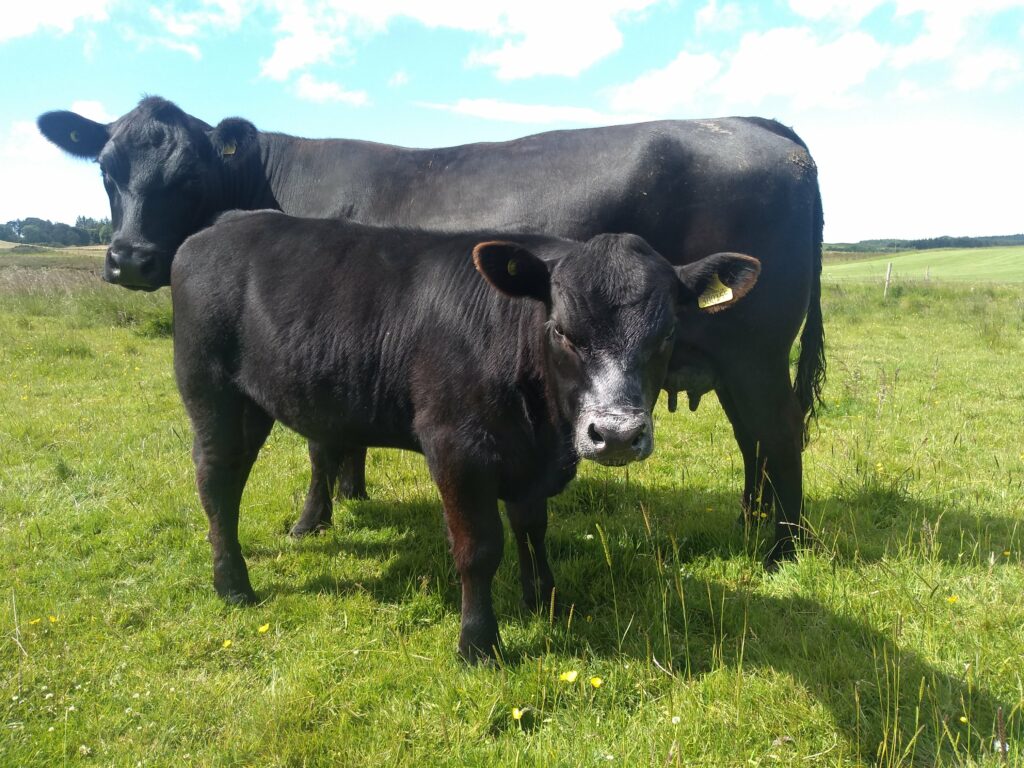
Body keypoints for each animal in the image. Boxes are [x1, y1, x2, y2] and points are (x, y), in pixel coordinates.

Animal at [38, 97, 824, 568]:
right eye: (107, 169)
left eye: (188, 174)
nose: (129, 258)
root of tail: (758, 125)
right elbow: (340, 435)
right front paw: (353, 493)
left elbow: (320, 443)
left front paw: (314, 519)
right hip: (733, 355)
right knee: (753, 438)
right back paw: (750, 523)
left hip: (755, 348)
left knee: (777, 431)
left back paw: (781, 548)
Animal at [171, 209, 760, 660]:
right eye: (561, 332)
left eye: (667, 334)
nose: (615, 434)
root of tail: (223, 224)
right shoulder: (456, 449)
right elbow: (478, 547)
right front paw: (478, 643)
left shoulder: (531, 462)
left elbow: (531, 526)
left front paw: (542, 597)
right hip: (213, 393)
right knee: (217, 481)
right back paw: (233, 584)